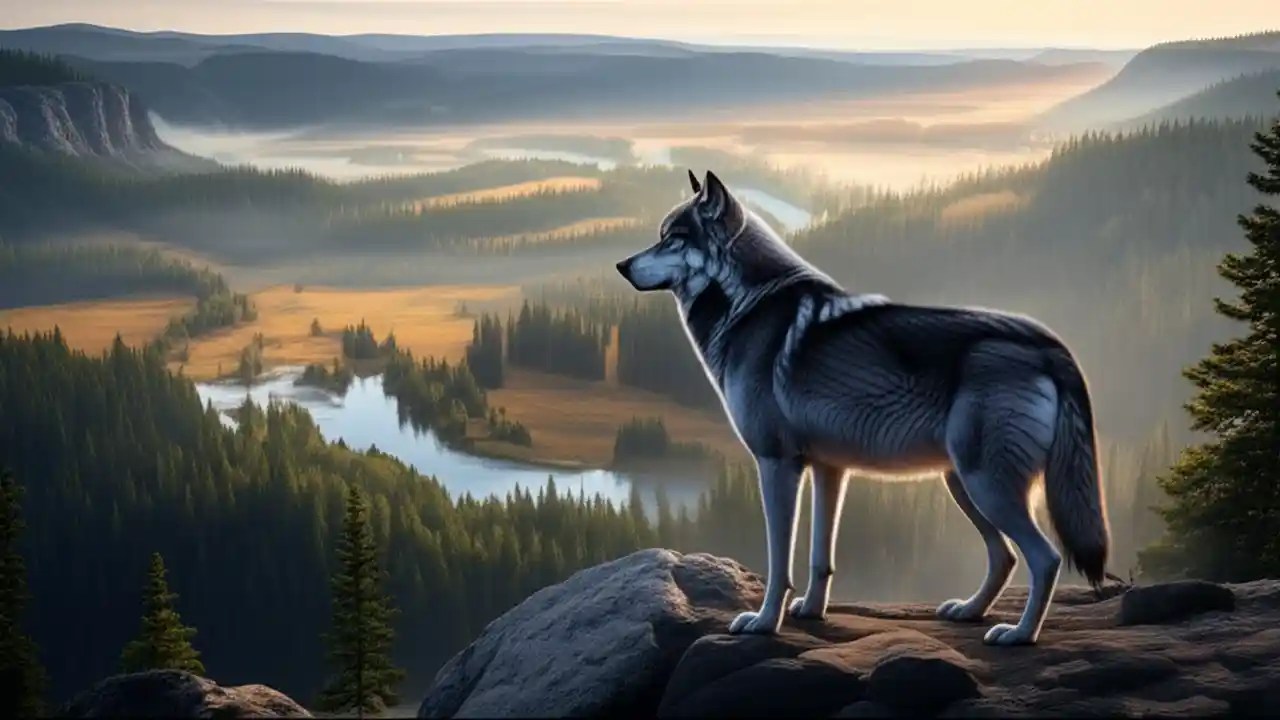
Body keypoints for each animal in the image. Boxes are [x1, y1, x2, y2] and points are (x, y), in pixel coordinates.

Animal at [615, 170, 1110, 646]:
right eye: (660, 234)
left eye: (673, 237)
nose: (621, 264)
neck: (749, 305)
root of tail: (1051, 345)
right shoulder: (829, 469)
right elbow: (821, 558)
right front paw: (812, 612)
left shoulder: (776, 464)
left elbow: (779, 563)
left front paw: (764, 622)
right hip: (963, 486)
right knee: (1004, 555)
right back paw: (970, 611)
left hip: (985, 486)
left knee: (1044, 557)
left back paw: (1020, 635)